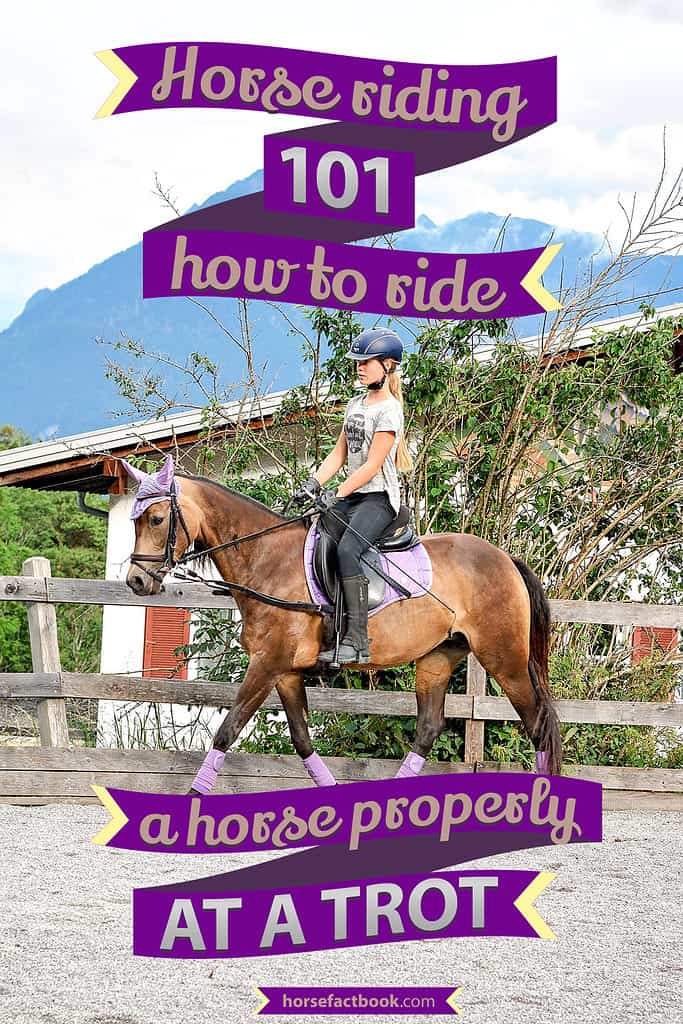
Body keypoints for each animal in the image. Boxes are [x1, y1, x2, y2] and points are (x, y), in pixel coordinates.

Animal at [125, 472, 562, 792]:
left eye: (157, 519)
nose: (135, 581)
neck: (267, 558)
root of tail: (504, 558)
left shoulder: (267, 664)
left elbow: (226, 731)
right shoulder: (285, 672)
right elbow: (302, 739)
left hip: (504, 658)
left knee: (539, 724)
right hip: (437, 658)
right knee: (427, 729)